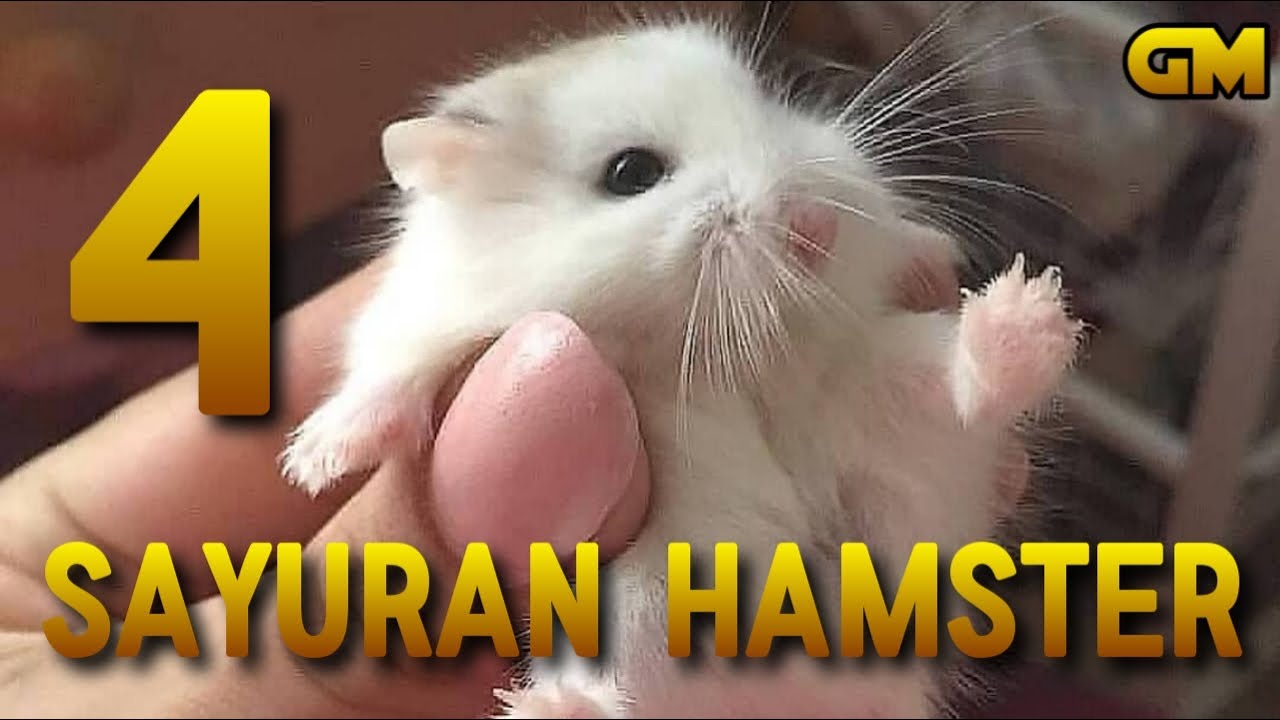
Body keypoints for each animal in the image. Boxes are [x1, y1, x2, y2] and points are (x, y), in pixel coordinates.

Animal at [281, 15, 1083, 720]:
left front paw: (930, 253)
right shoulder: (422, 321)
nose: (816, 229)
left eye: (769, 106)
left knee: (959, 390)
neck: (704, 351)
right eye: (631, 173)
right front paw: (315, 463)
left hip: (885, 399)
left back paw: (1025, 313)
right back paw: (555, 706)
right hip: (641, 606)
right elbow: (390, 376)